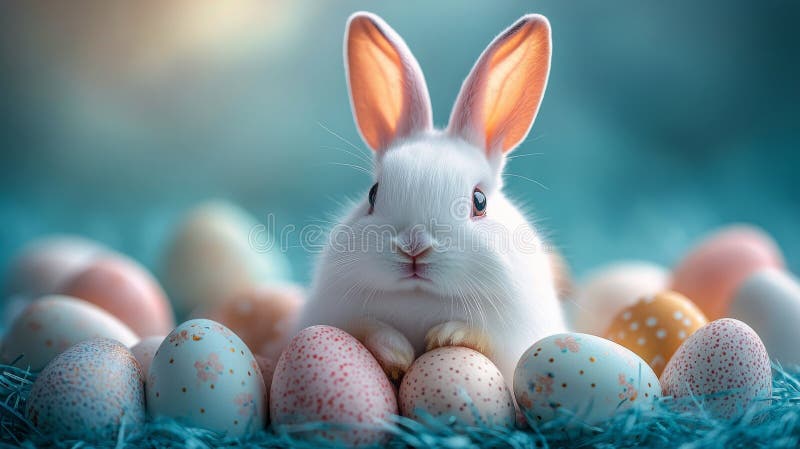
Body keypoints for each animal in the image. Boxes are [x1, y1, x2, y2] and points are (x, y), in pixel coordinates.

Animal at [298, 11, 567, 385]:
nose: (414, 247)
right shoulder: (340, 314)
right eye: (373, 194)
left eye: (479, 202)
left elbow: (483, 338)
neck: (420, 299)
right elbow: (366, 329)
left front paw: (448, 336)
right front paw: (396, 353)